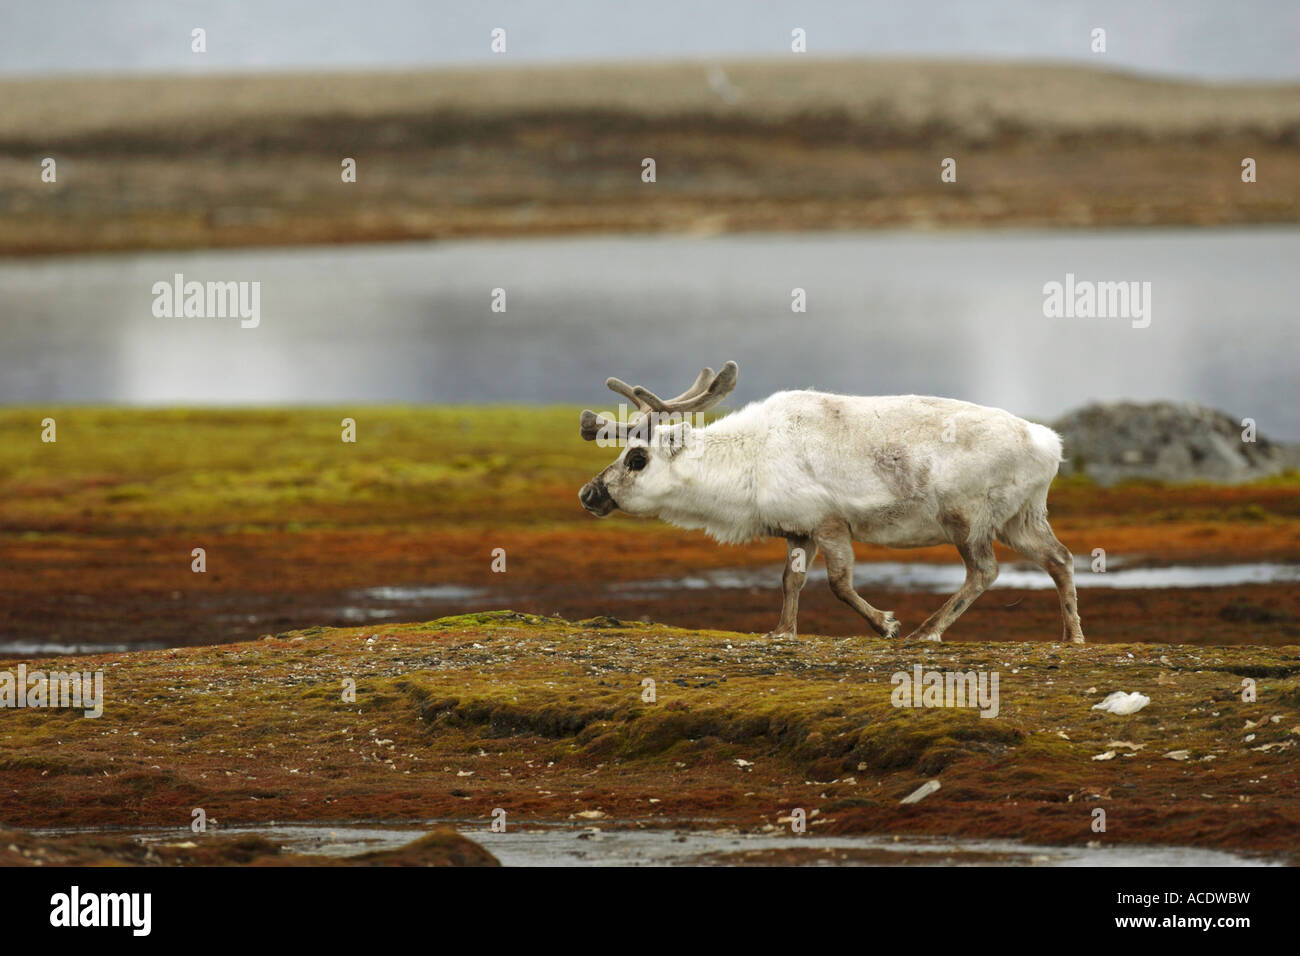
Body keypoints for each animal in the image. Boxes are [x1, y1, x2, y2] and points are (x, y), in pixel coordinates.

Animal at [578, 361, 1085, 644]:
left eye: (637, 458)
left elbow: (839, 584)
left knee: (985, 570)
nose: (589, 494)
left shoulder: (830, 523)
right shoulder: (797, 529)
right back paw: (1072, 636)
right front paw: (782, 631)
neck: (746, 462)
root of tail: (1051, 444)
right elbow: (791, 581)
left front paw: (886, 625)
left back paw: (926, 631)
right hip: (1021, 517)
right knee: (1060, 558)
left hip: (968, 517)